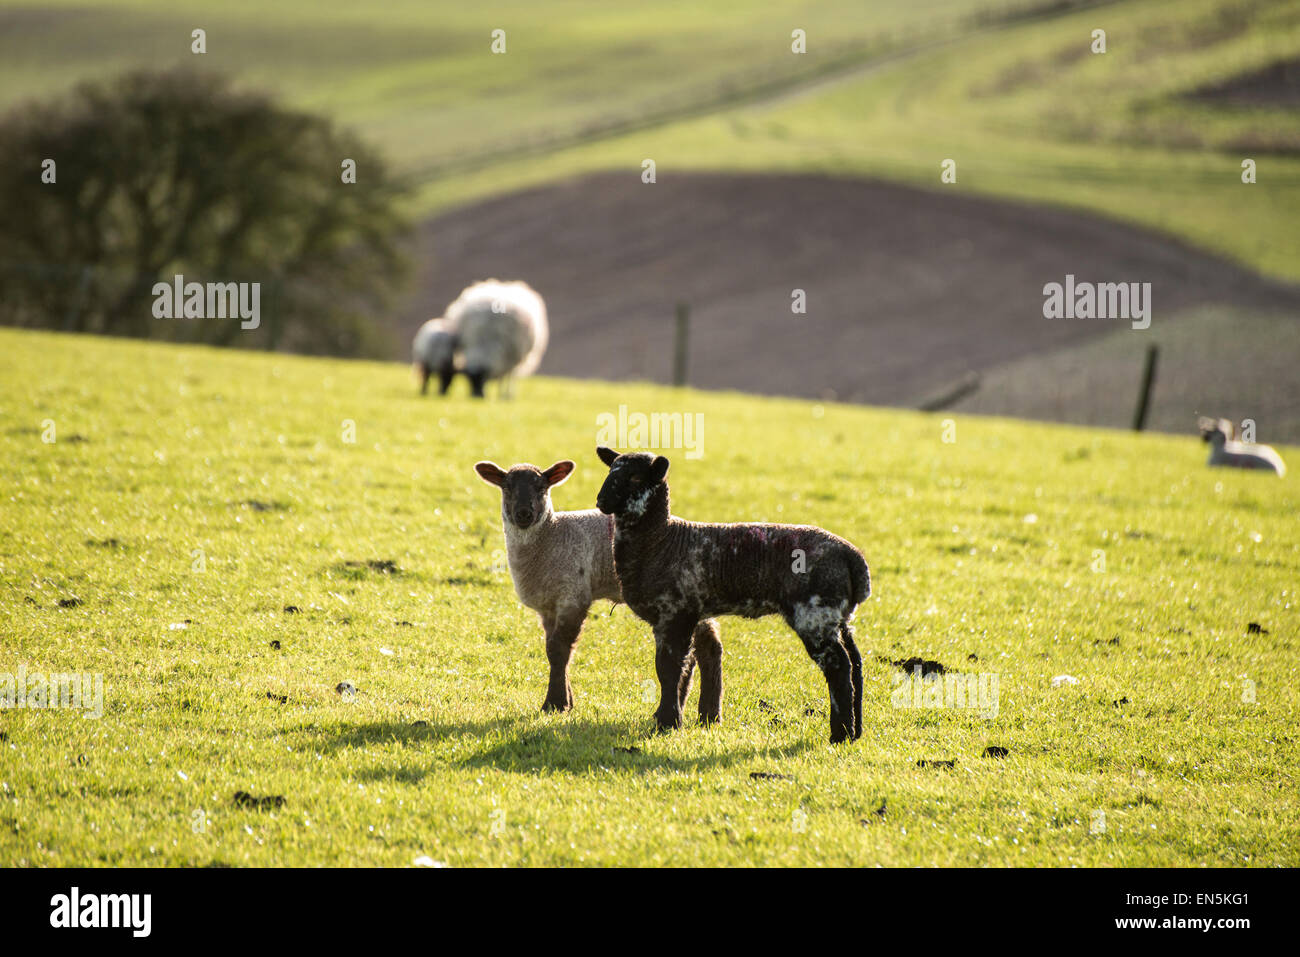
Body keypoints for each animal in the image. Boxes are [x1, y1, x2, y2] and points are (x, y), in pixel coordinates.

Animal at [475, 459, 724, 719]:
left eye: (541, 488)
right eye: (507, 487)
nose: (524, 514)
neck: (551, 536)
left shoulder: (573, 594)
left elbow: (559, 649)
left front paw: (555, 704)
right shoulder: (549, 606)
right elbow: (552, 649)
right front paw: (566, 701)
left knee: (709, 647)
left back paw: (709, 714)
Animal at [594, 447, 871, 744]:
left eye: (635, 477)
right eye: (611, 470)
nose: (601, 500)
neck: (661, 540)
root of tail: (853, 559)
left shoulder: (675, 612)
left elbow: (668, 668)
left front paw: (668, 721)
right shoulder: (690, 614)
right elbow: (686, 667)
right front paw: (668, 717)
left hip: (815, 613)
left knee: (838, 666)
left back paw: (839, 734)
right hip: (838, 616)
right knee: (855, 663)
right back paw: (855, 730)